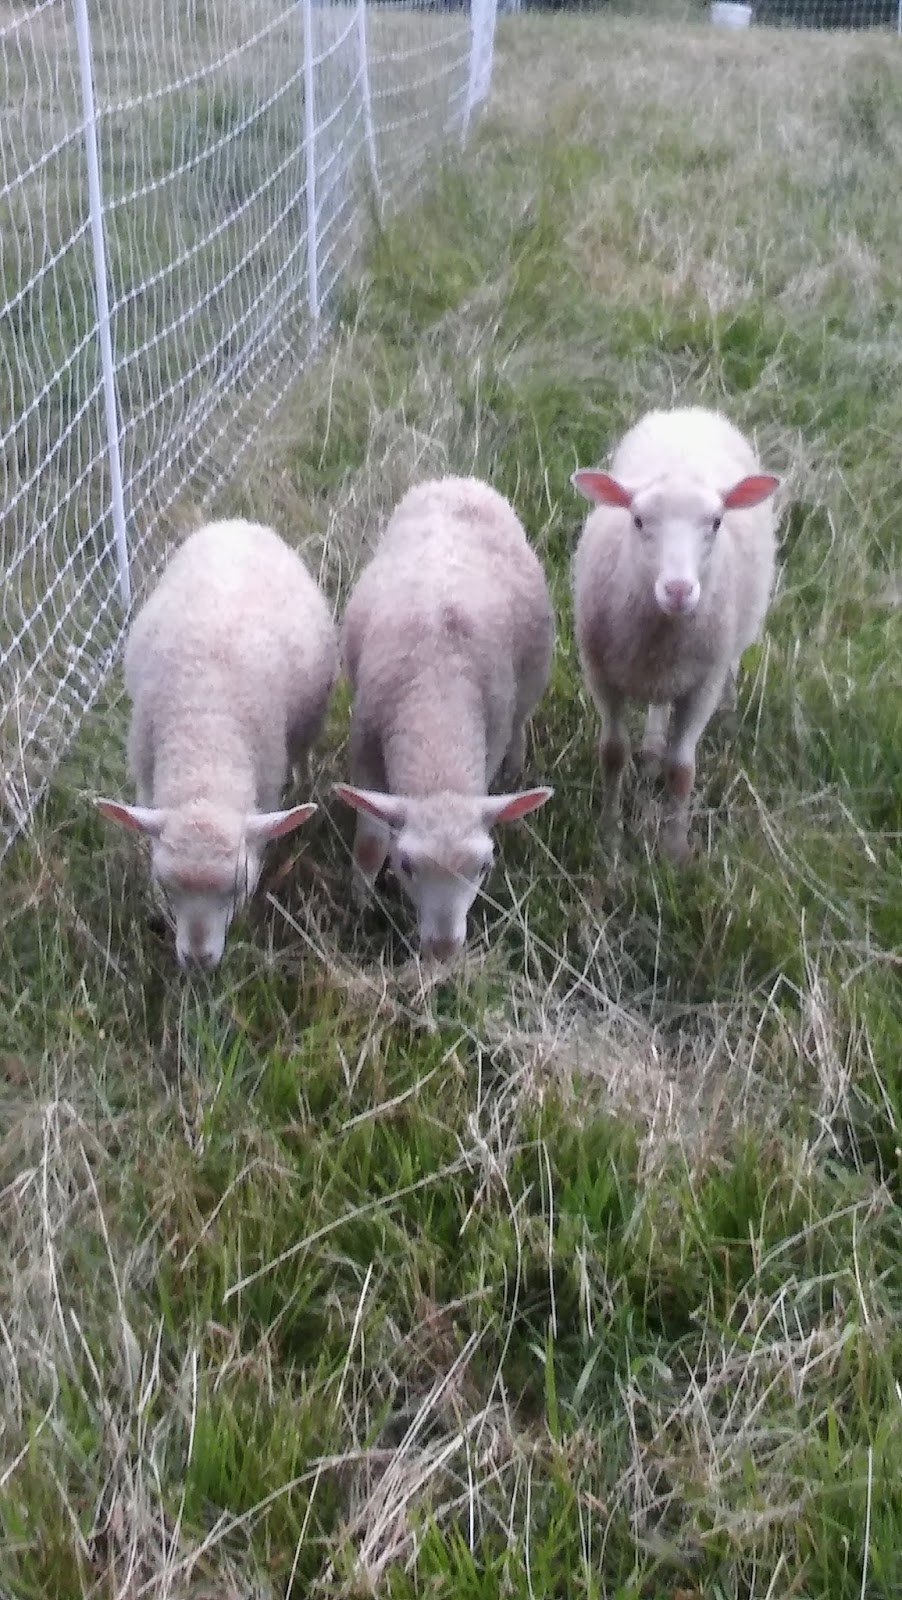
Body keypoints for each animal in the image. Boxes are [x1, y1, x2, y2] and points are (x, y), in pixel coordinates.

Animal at [333, 476, 555, 962]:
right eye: (406, 865)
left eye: (484, 867)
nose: (443, 950)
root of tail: (459, 481)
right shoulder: (364, 750)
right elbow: (369, 842)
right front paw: (360, 902)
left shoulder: (487, 741)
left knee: (520, 723)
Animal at [571, 406, 779, 863]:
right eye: (637, 520)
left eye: (716, 522)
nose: (679, 590)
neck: (662, 632)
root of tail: (692, 411)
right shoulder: (600, 673)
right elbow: (612, 753)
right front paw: (609, 836)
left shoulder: (701, 683)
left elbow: (682, 769)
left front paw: (675, 850)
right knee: (657, 708)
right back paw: (650, 750)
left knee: (728, 671)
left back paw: (728, 714)